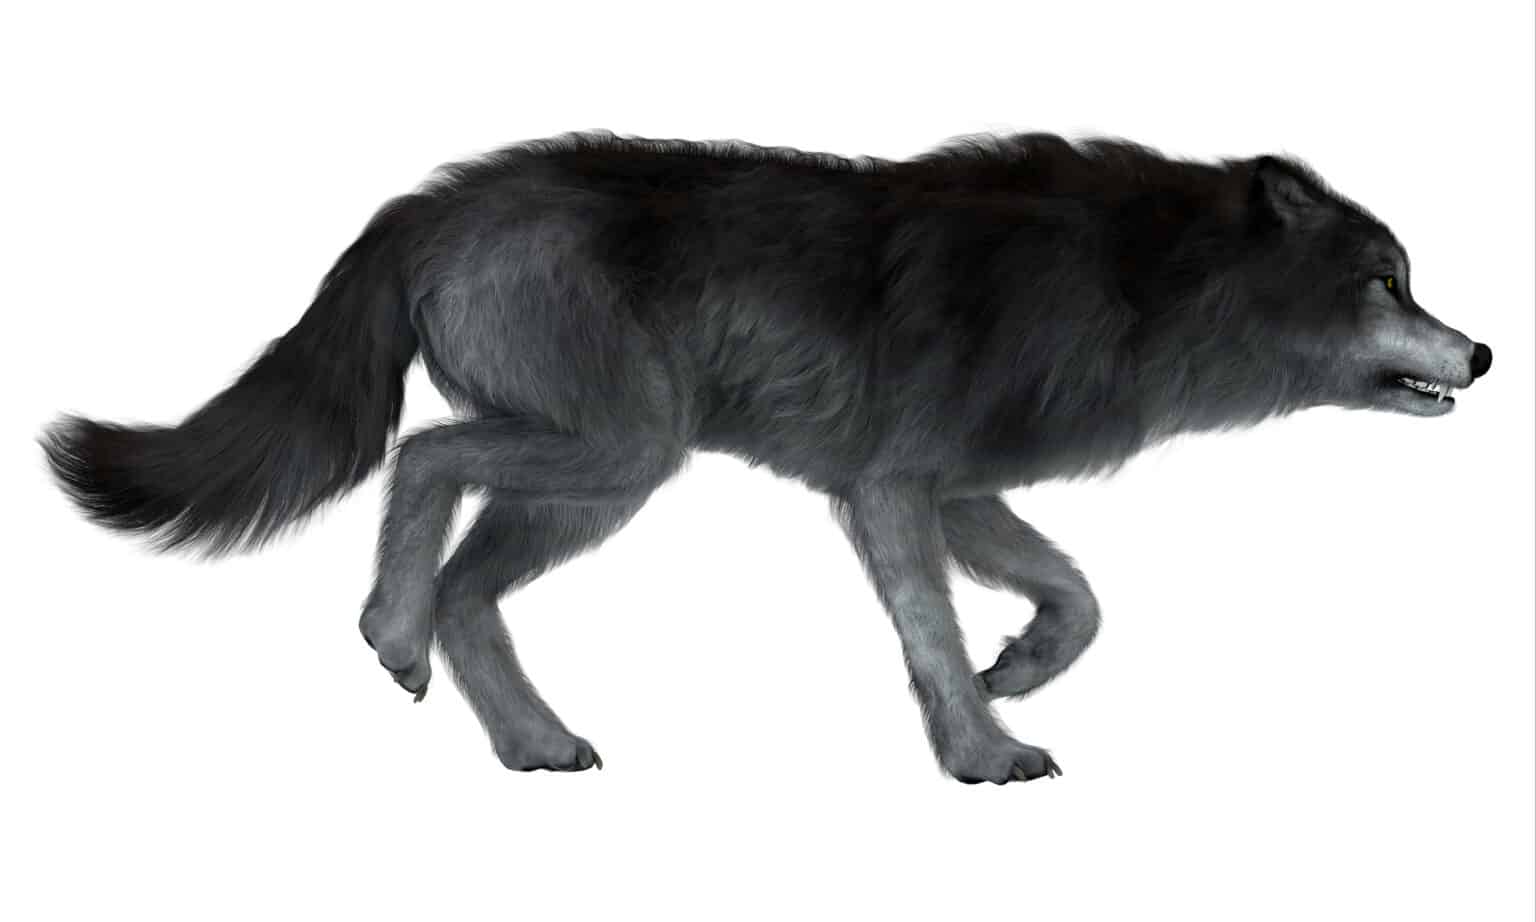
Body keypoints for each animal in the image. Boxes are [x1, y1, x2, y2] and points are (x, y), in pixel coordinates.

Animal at [42, 131, 1492, 784]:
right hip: (620, 458)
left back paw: (532, 740)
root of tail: (429, 200)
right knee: (424, 464)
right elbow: (931, 634)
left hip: (591, 485)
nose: (1480, 353)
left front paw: (1016, 669)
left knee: (466, 585)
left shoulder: (946, 486)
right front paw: (980, 750)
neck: (1140, 283)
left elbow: (1080, 596)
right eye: (1386, 281)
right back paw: (389, 630)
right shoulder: (897, 489)